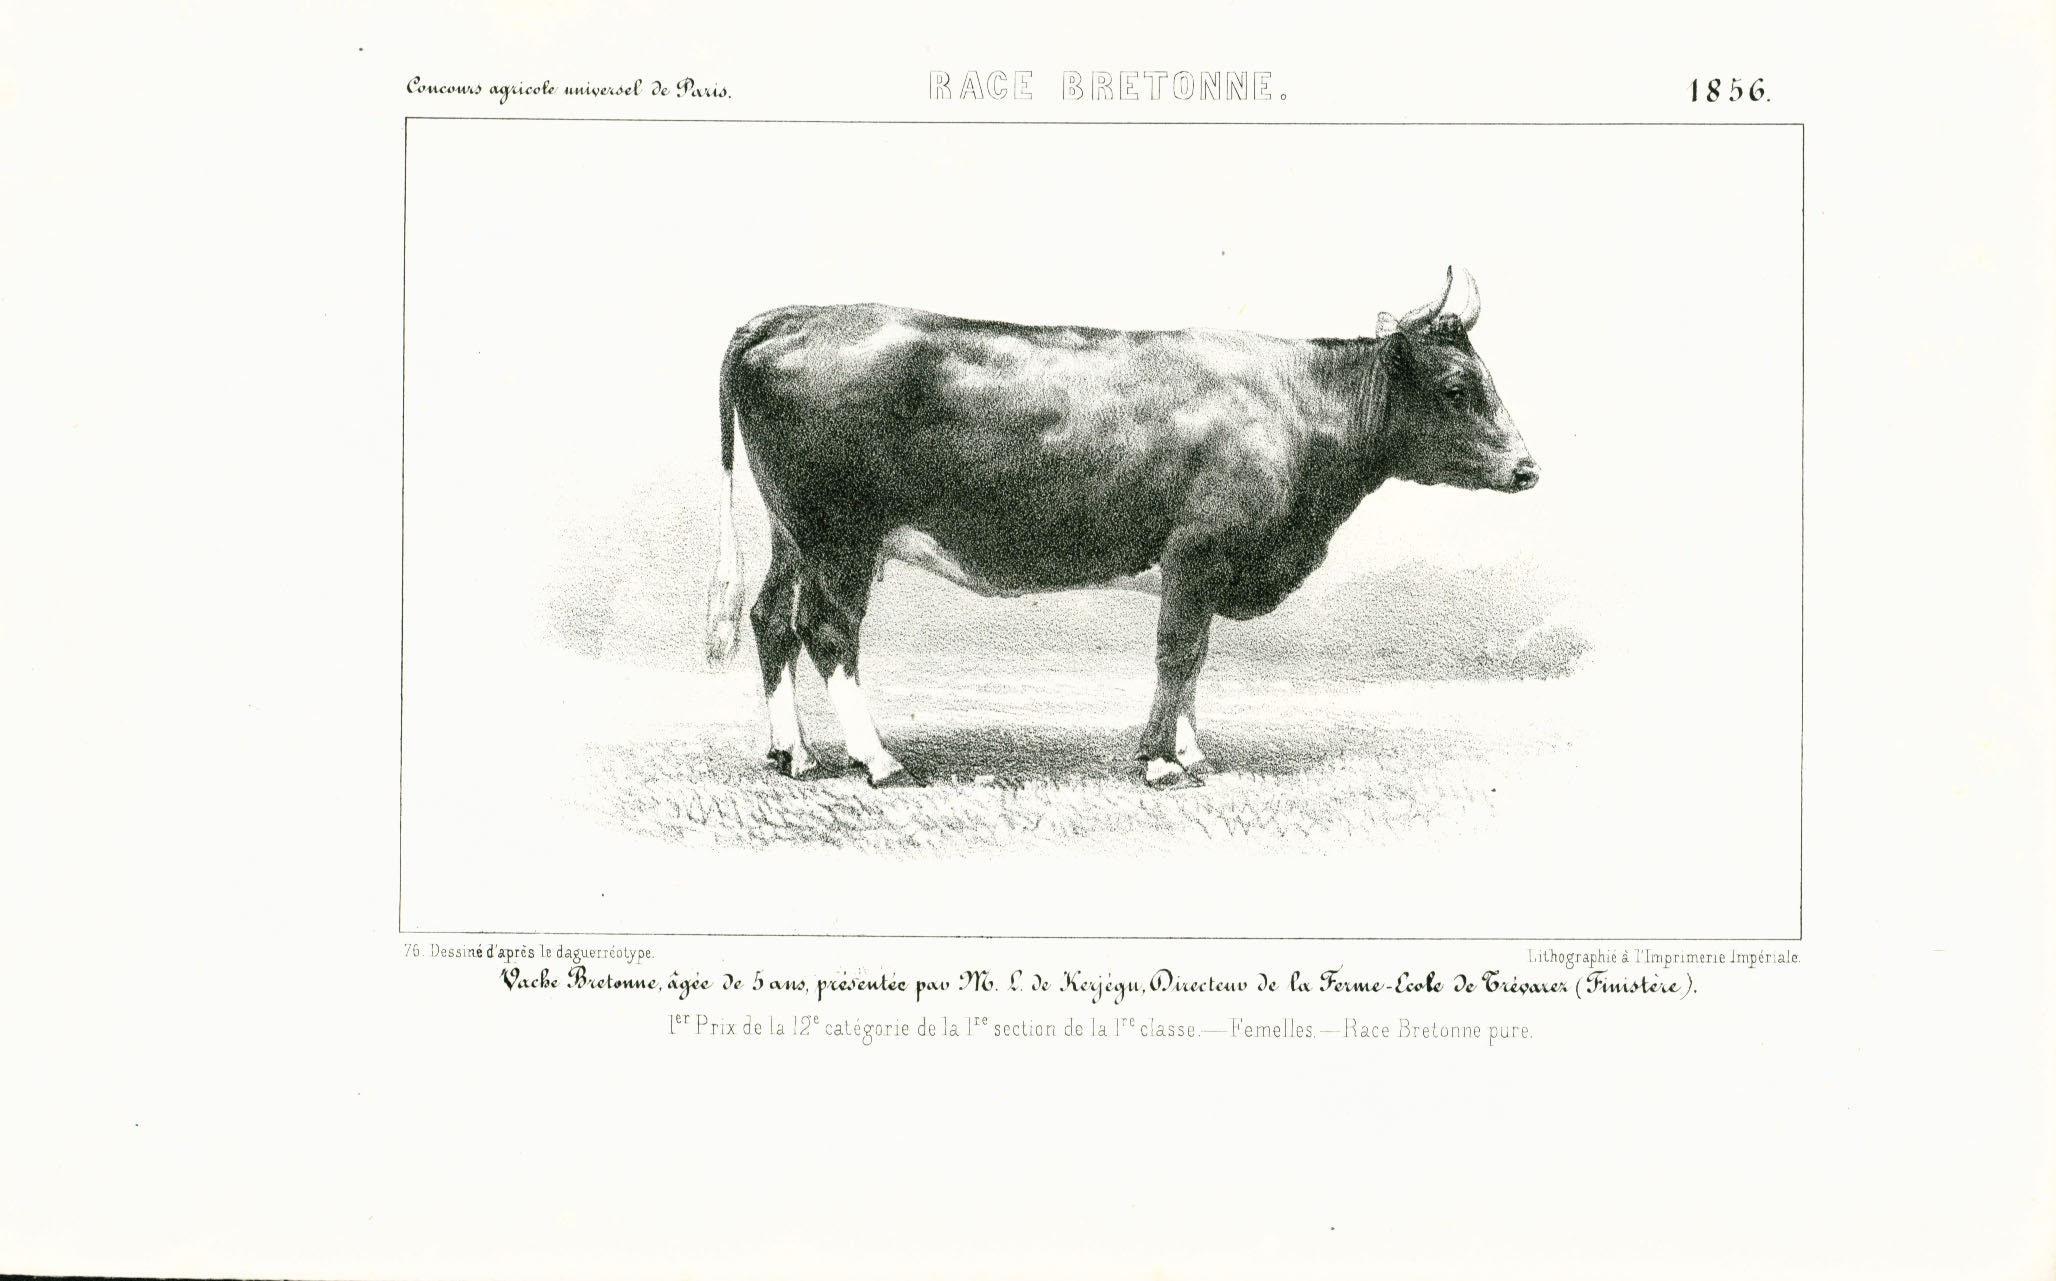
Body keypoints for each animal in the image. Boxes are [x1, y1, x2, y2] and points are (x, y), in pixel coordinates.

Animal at [702, 267, 1537, 789]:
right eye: (1456, 385)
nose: (1528, 468)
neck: (1295, 406)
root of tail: (793, 315)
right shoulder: (1197, 549)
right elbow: (1177, 652)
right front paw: (1160, 761)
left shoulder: (1207, 568)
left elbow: (1197, 657)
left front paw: (1191, 752)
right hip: (840, 532)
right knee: (828, 630)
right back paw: (877, 760)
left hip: (793, 530)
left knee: (771, 618)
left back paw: (793, 753)